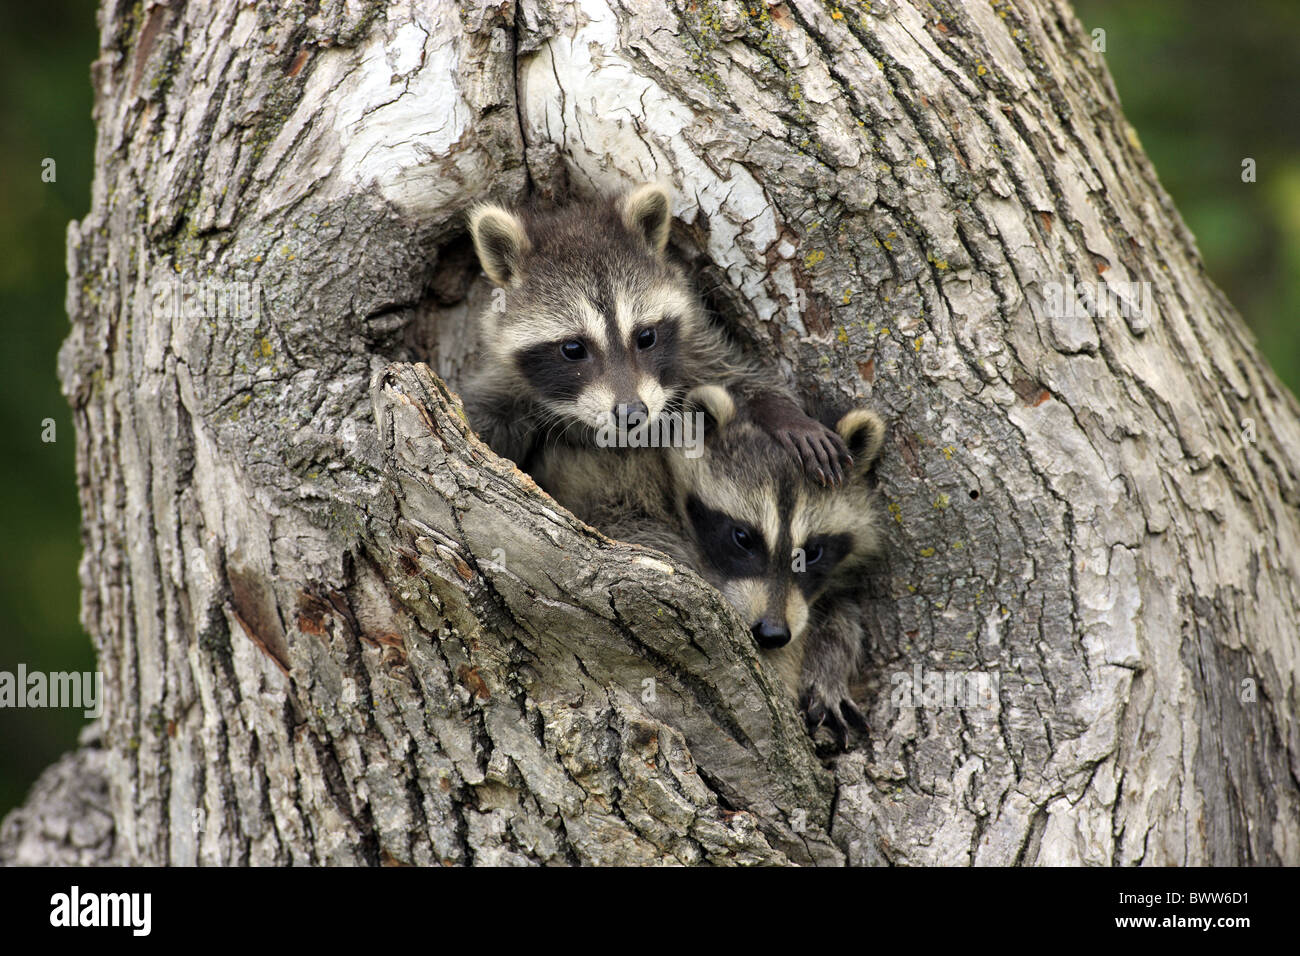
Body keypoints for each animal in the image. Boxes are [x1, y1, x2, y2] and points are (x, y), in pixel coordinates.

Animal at [463, 184, 850, 484]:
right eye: (573, 348)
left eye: (645, 337)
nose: (632, 414)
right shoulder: (507, 380)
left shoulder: (694, 346)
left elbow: (740, 376)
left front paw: (782, 414)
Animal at [536, 385, 887, 748]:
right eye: (743, 537)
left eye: (814, 551)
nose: (773, 633)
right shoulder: (615, 482)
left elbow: (838, 609)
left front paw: (828, 661)